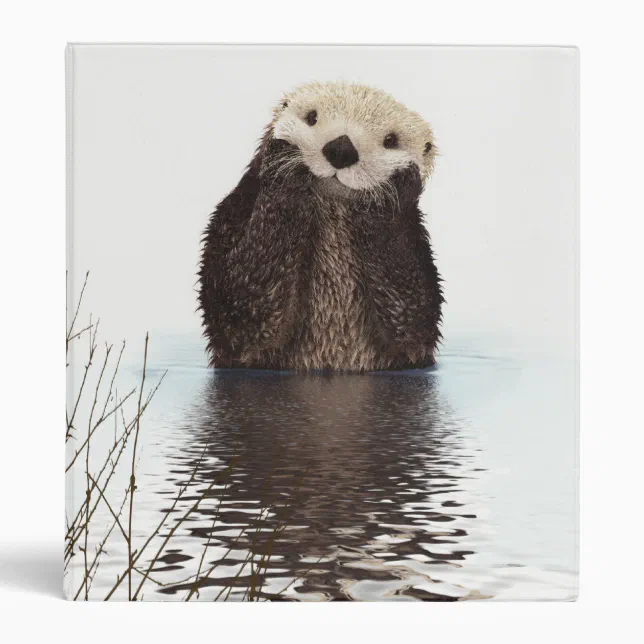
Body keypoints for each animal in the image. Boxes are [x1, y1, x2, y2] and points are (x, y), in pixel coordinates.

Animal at [198, 82, 443, 371]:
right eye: (312, 117)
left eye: (391, 140)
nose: (341, 149)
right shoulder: (233, 216)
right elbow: (240, 306)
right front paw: (284, 161)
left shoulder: (416, 249)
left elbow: (413, 318)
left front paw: (393, 187)